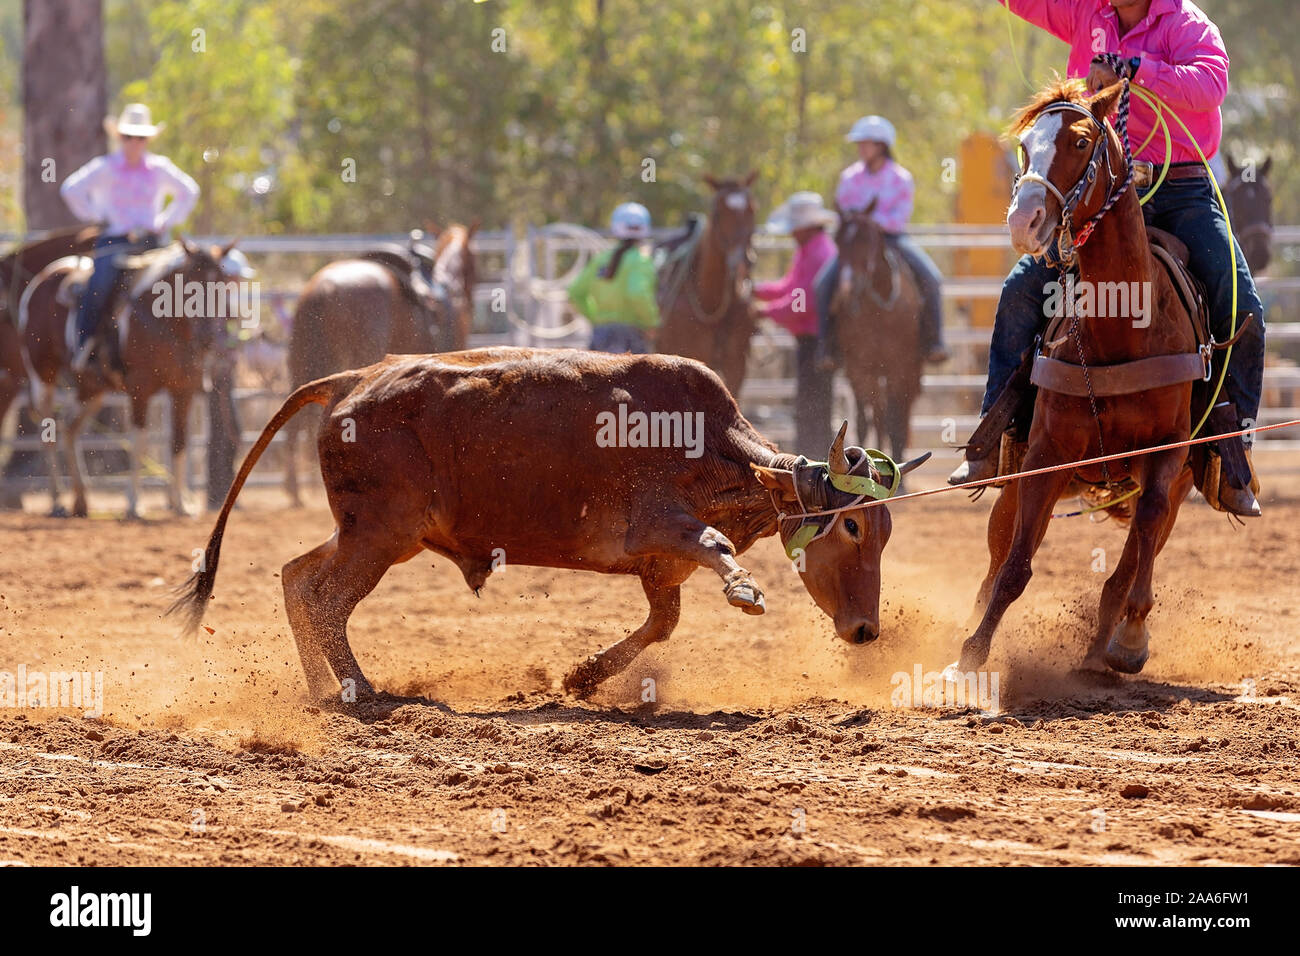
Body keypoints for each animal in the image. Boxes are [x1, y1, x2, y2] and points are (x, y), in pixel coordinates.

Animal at [171, 348, 928, 699]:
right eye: (852, 529)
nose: (867, 630)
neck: (713, 444)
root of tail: (350, 380)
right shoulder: (661, 529)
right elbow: (711, 548)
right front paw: (744, 589)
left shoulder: (660, 568)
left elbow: (662, 623)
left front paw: (584, 676)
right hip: (379, 535)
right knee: (327, 599)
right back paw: (359, 690)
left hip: (367, 532)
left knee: (297, 578)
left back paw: (324, 689)